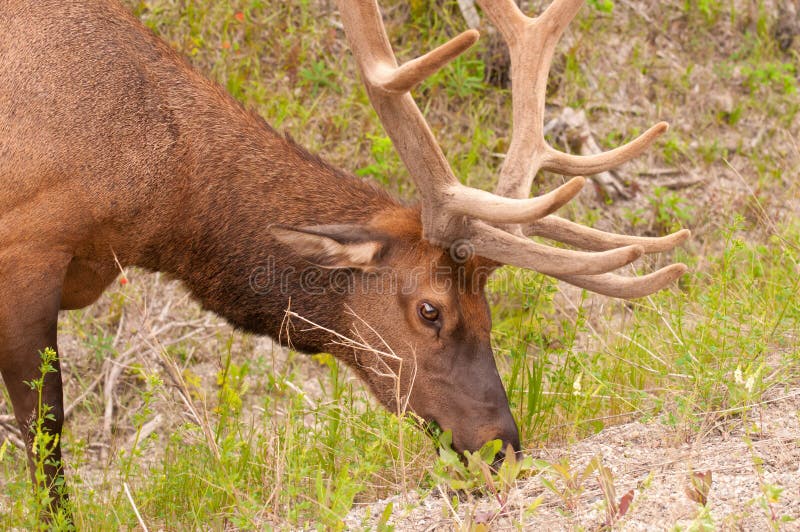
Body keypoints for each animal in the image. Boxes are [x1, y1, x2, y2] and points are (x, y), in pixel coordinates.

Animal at [0, 0, 690, 510]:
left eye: (488, 311)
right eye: (430, 310)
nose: (503, 449)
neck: (155, 201)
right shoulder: (27, 249)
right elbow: (47, 431)